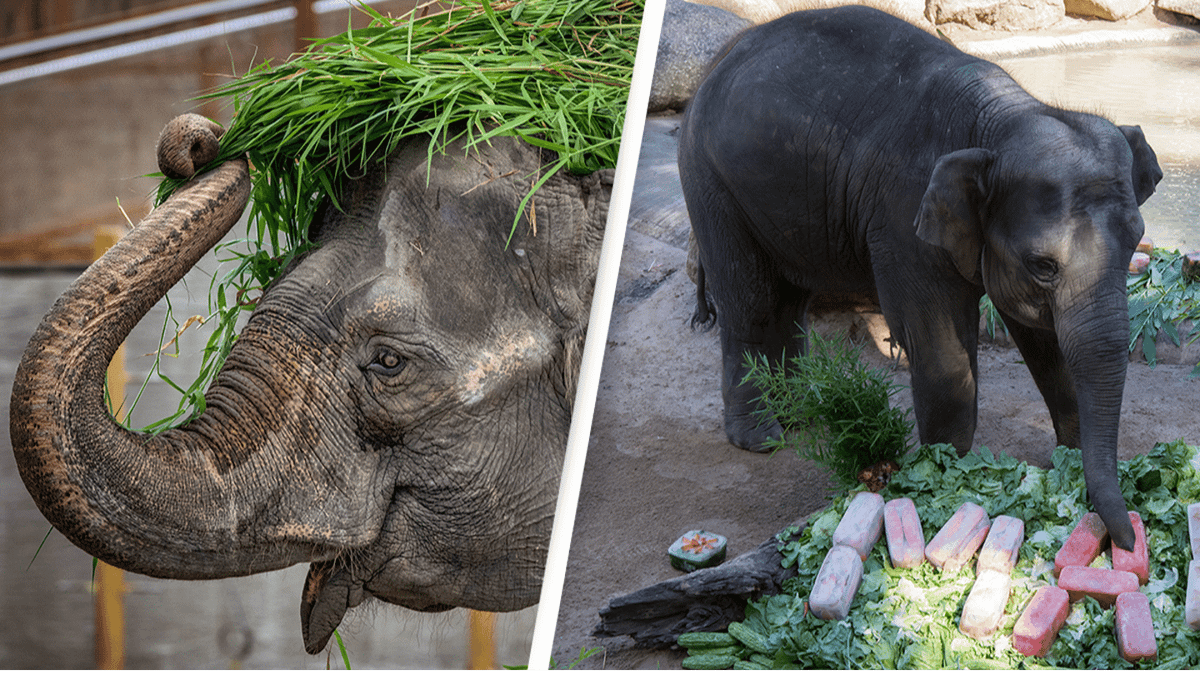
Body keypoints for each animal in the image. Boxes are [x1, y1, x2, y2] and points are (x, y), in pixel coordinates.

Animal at [678, 6, 1161, 551]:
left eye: (1136, 241)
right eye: (1043, 265)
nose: (1127, 542)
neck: (1003, 121)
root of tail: (717, 61)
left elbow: (1044, 342)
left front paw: (1068, 460)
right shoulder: (903, 217)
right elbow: (939, 347)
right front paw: (944, 476)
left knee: (789, 300)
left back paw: (800, 414)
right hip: (709, 179)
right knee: (752, 303)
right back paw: (761, 438)